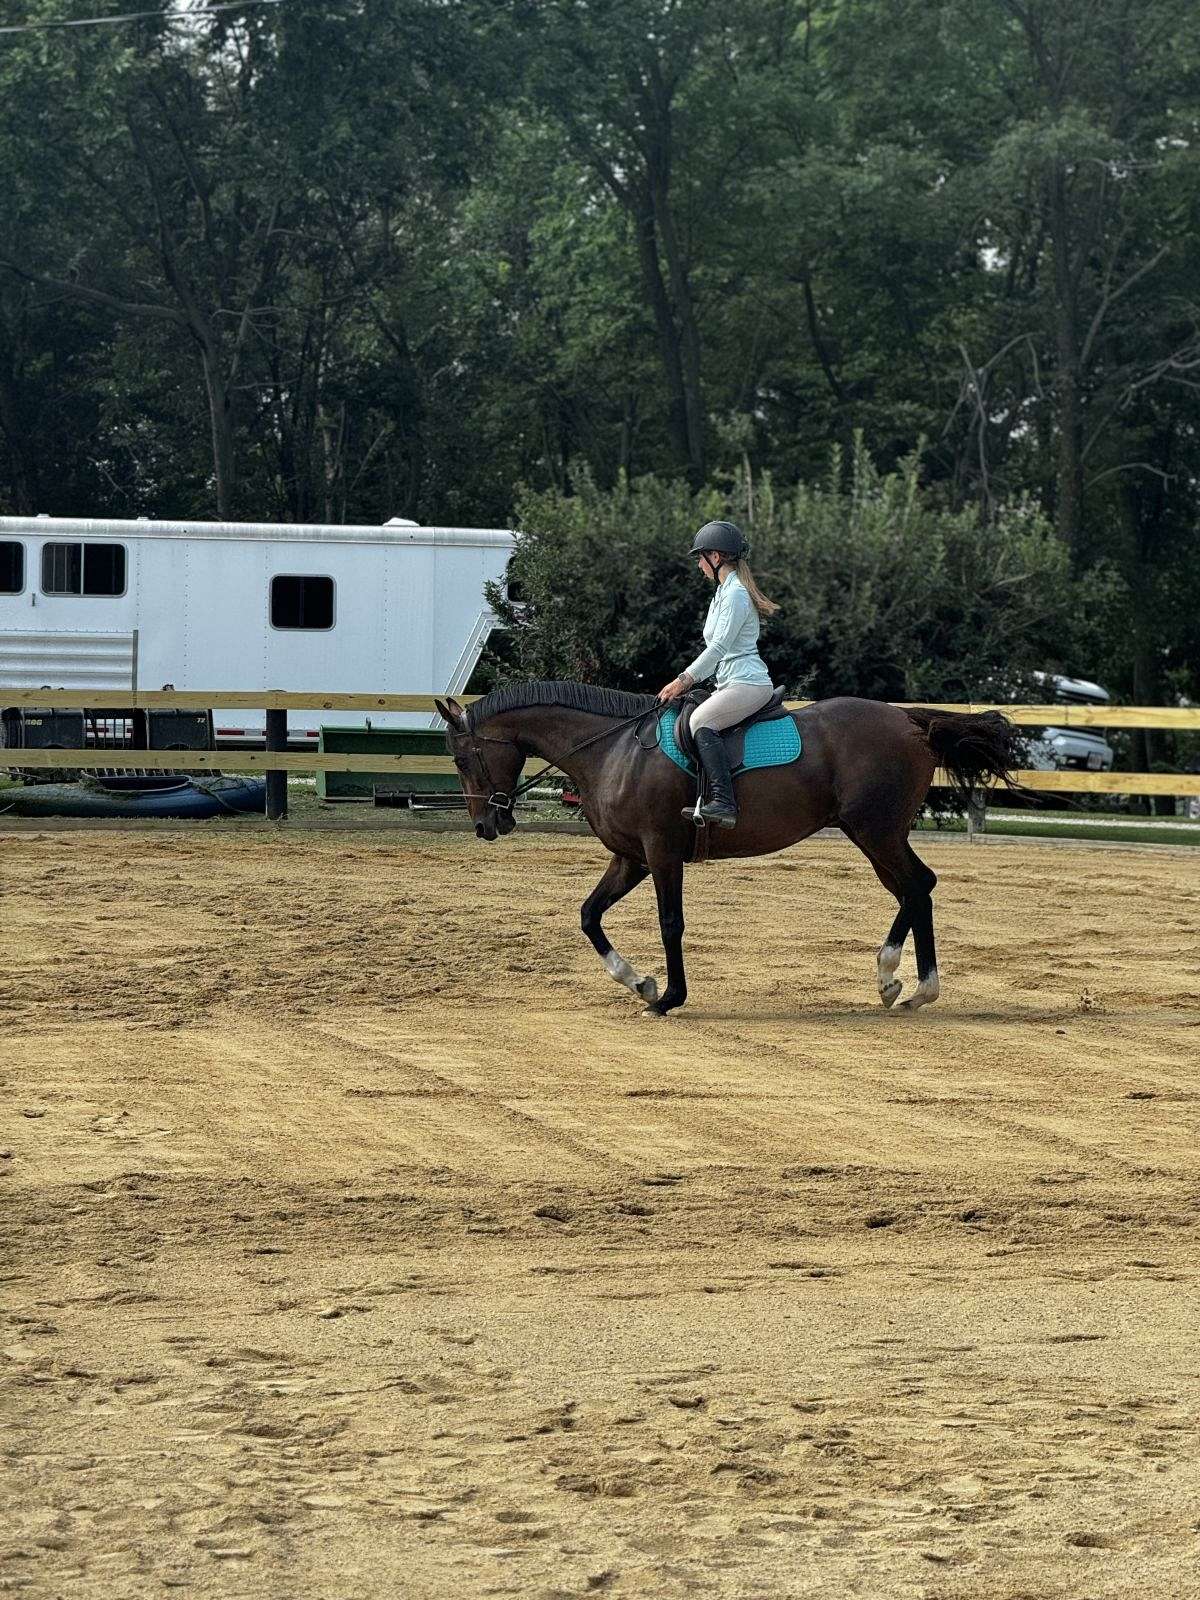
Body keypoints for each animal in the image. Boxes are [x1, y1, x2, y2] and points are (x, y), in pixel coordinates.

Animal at [434, 682, 1021, 1017]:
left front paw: (668, 998)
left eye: (462, 758)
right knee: (912, 891)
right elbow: (588, 915)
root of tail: (909, 720)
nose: (486, 824)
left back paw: (911, 982)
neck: (614, 750)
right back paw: (897, 981)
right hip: (873, 836)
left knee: (916, 886)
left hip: (876, 832)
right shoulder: (631, 858)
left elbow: (671, 922)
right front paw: (641, 983)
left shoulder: (661, 852)